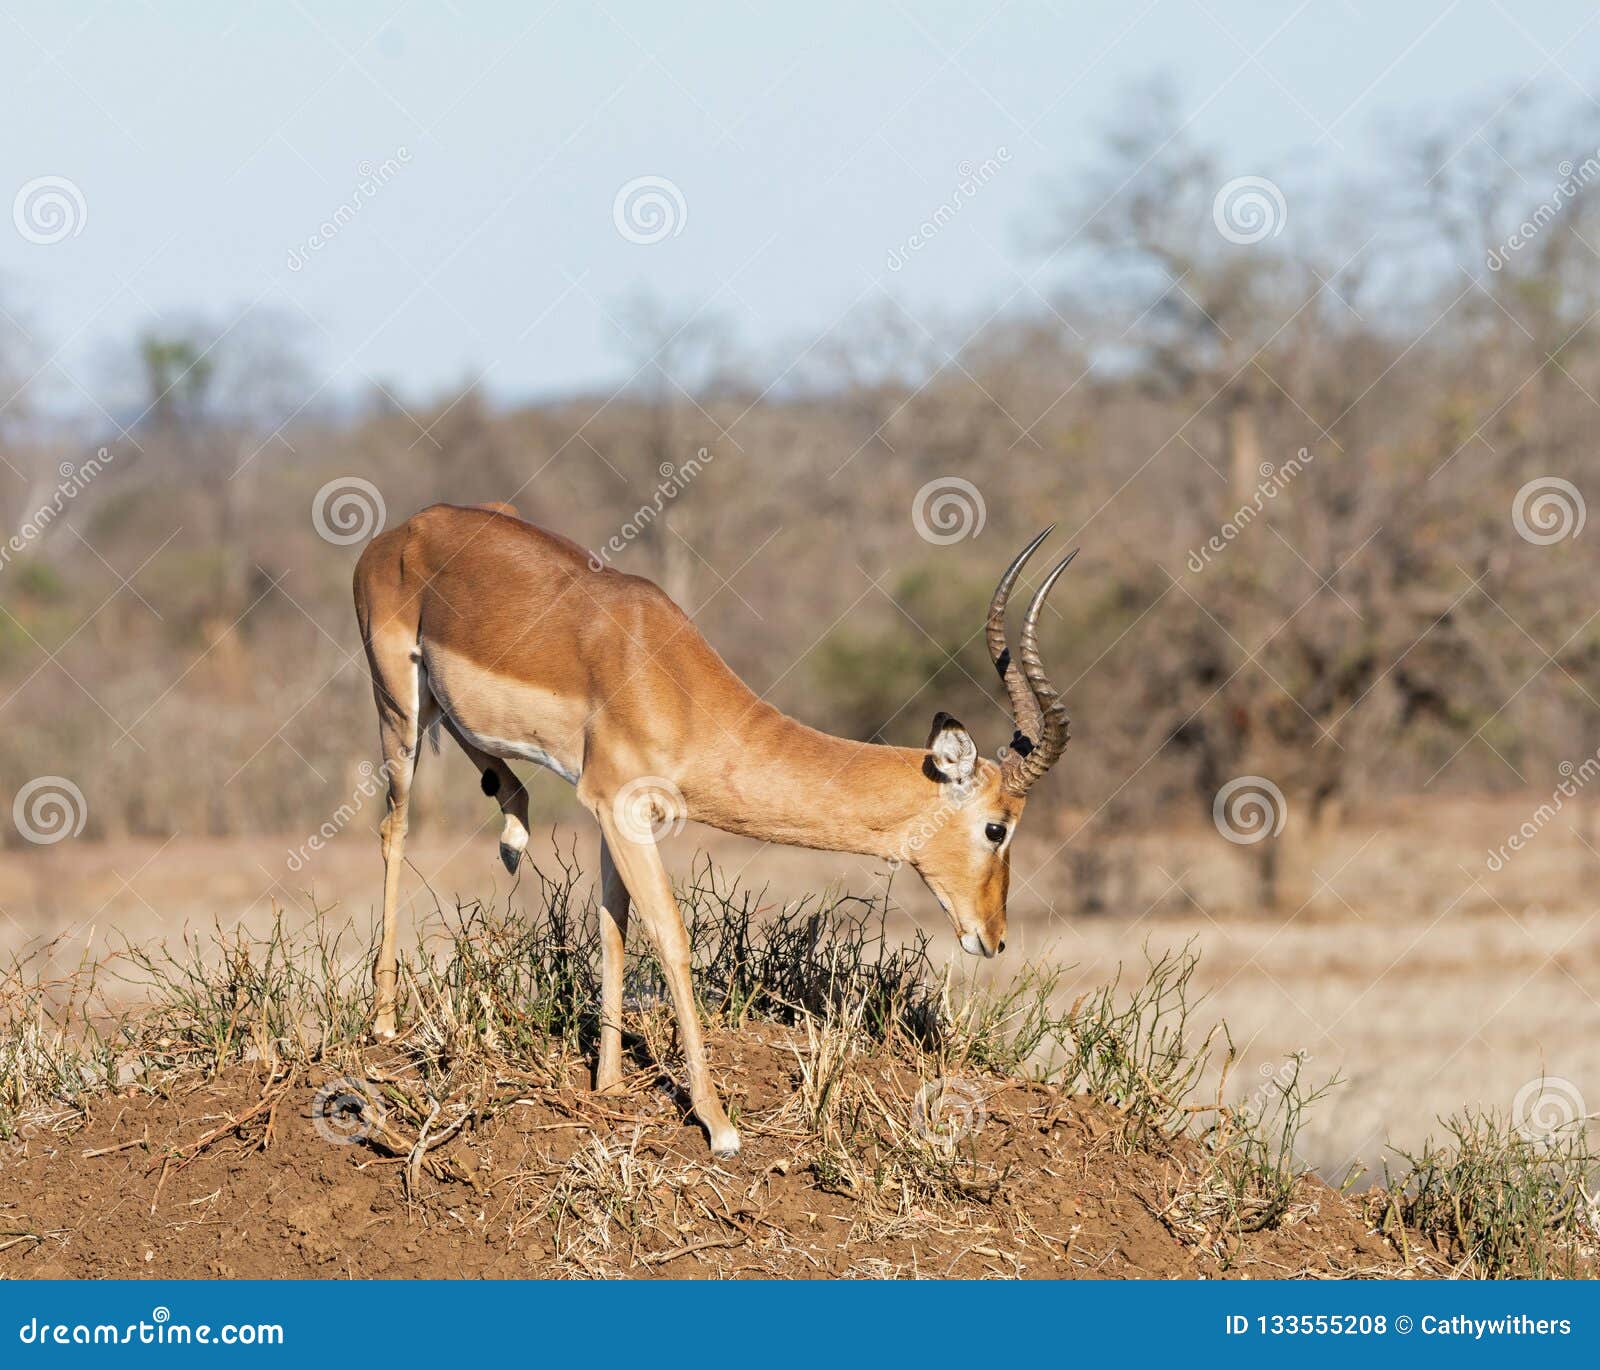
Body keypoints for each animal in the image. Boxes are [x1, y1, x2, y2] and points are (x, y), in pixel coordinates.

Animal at [352, 502, 1074, 1156]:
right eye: (996, 829)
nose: (993, 937)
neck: (671, 683)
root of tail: (401, 531)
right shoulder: (620, 808)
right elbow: (671, 937)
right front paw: (718, 1122)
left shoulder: (616, 813)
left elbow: (613, 925)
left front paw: (609, 1085)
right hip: (396, 707)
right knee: (393, 826)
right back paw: (384, 1023)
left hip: (436, 709)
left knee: (469, 746)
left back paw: (513, 825)